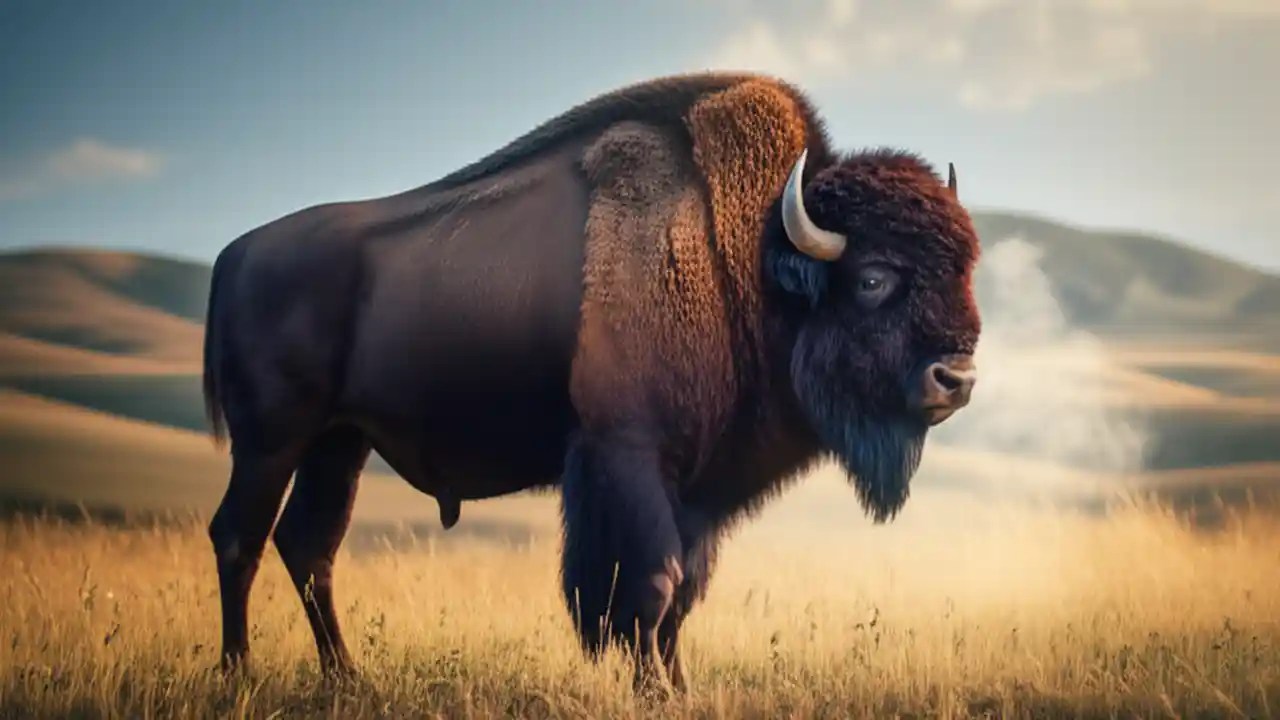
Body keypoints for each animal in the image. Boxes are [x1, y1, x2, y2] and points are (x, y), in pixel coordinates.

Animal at [202, 71, 981, 692]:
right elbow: (651, 586)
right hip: (271, 441)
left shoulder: (697, 487)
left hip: (339, 443)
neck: (748, 263)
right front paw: (654, 691)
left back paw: (346, 676)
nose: (957, 379)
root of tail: (234, 254)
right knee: (240, 536)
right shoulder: (628, 456)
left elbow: (683, 595)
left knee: (310, 547)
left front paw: (678, 688)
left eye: (966, 269)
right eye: (873, 277)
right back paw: (239, 673)